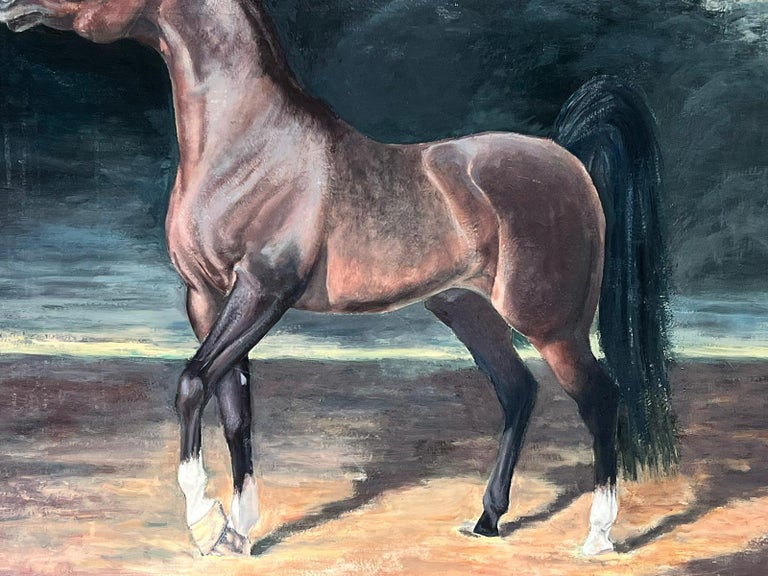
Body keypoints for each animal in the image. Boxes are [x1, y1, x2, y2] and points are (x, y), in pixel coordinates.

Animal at [1, 0, 678, 558]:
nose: (11, 6)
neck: (247, 146)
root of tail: (565, 155)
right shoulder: (207, 299)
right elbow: (234, 407)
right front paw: (240, 532)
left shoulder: (262, 292)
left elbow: (193, 384)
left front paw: (204, 521)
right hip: (466, 310)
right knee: (517, 392)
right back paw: (488, 521)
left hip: (551, 323)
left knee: (599, 398)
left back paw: (597, 537)